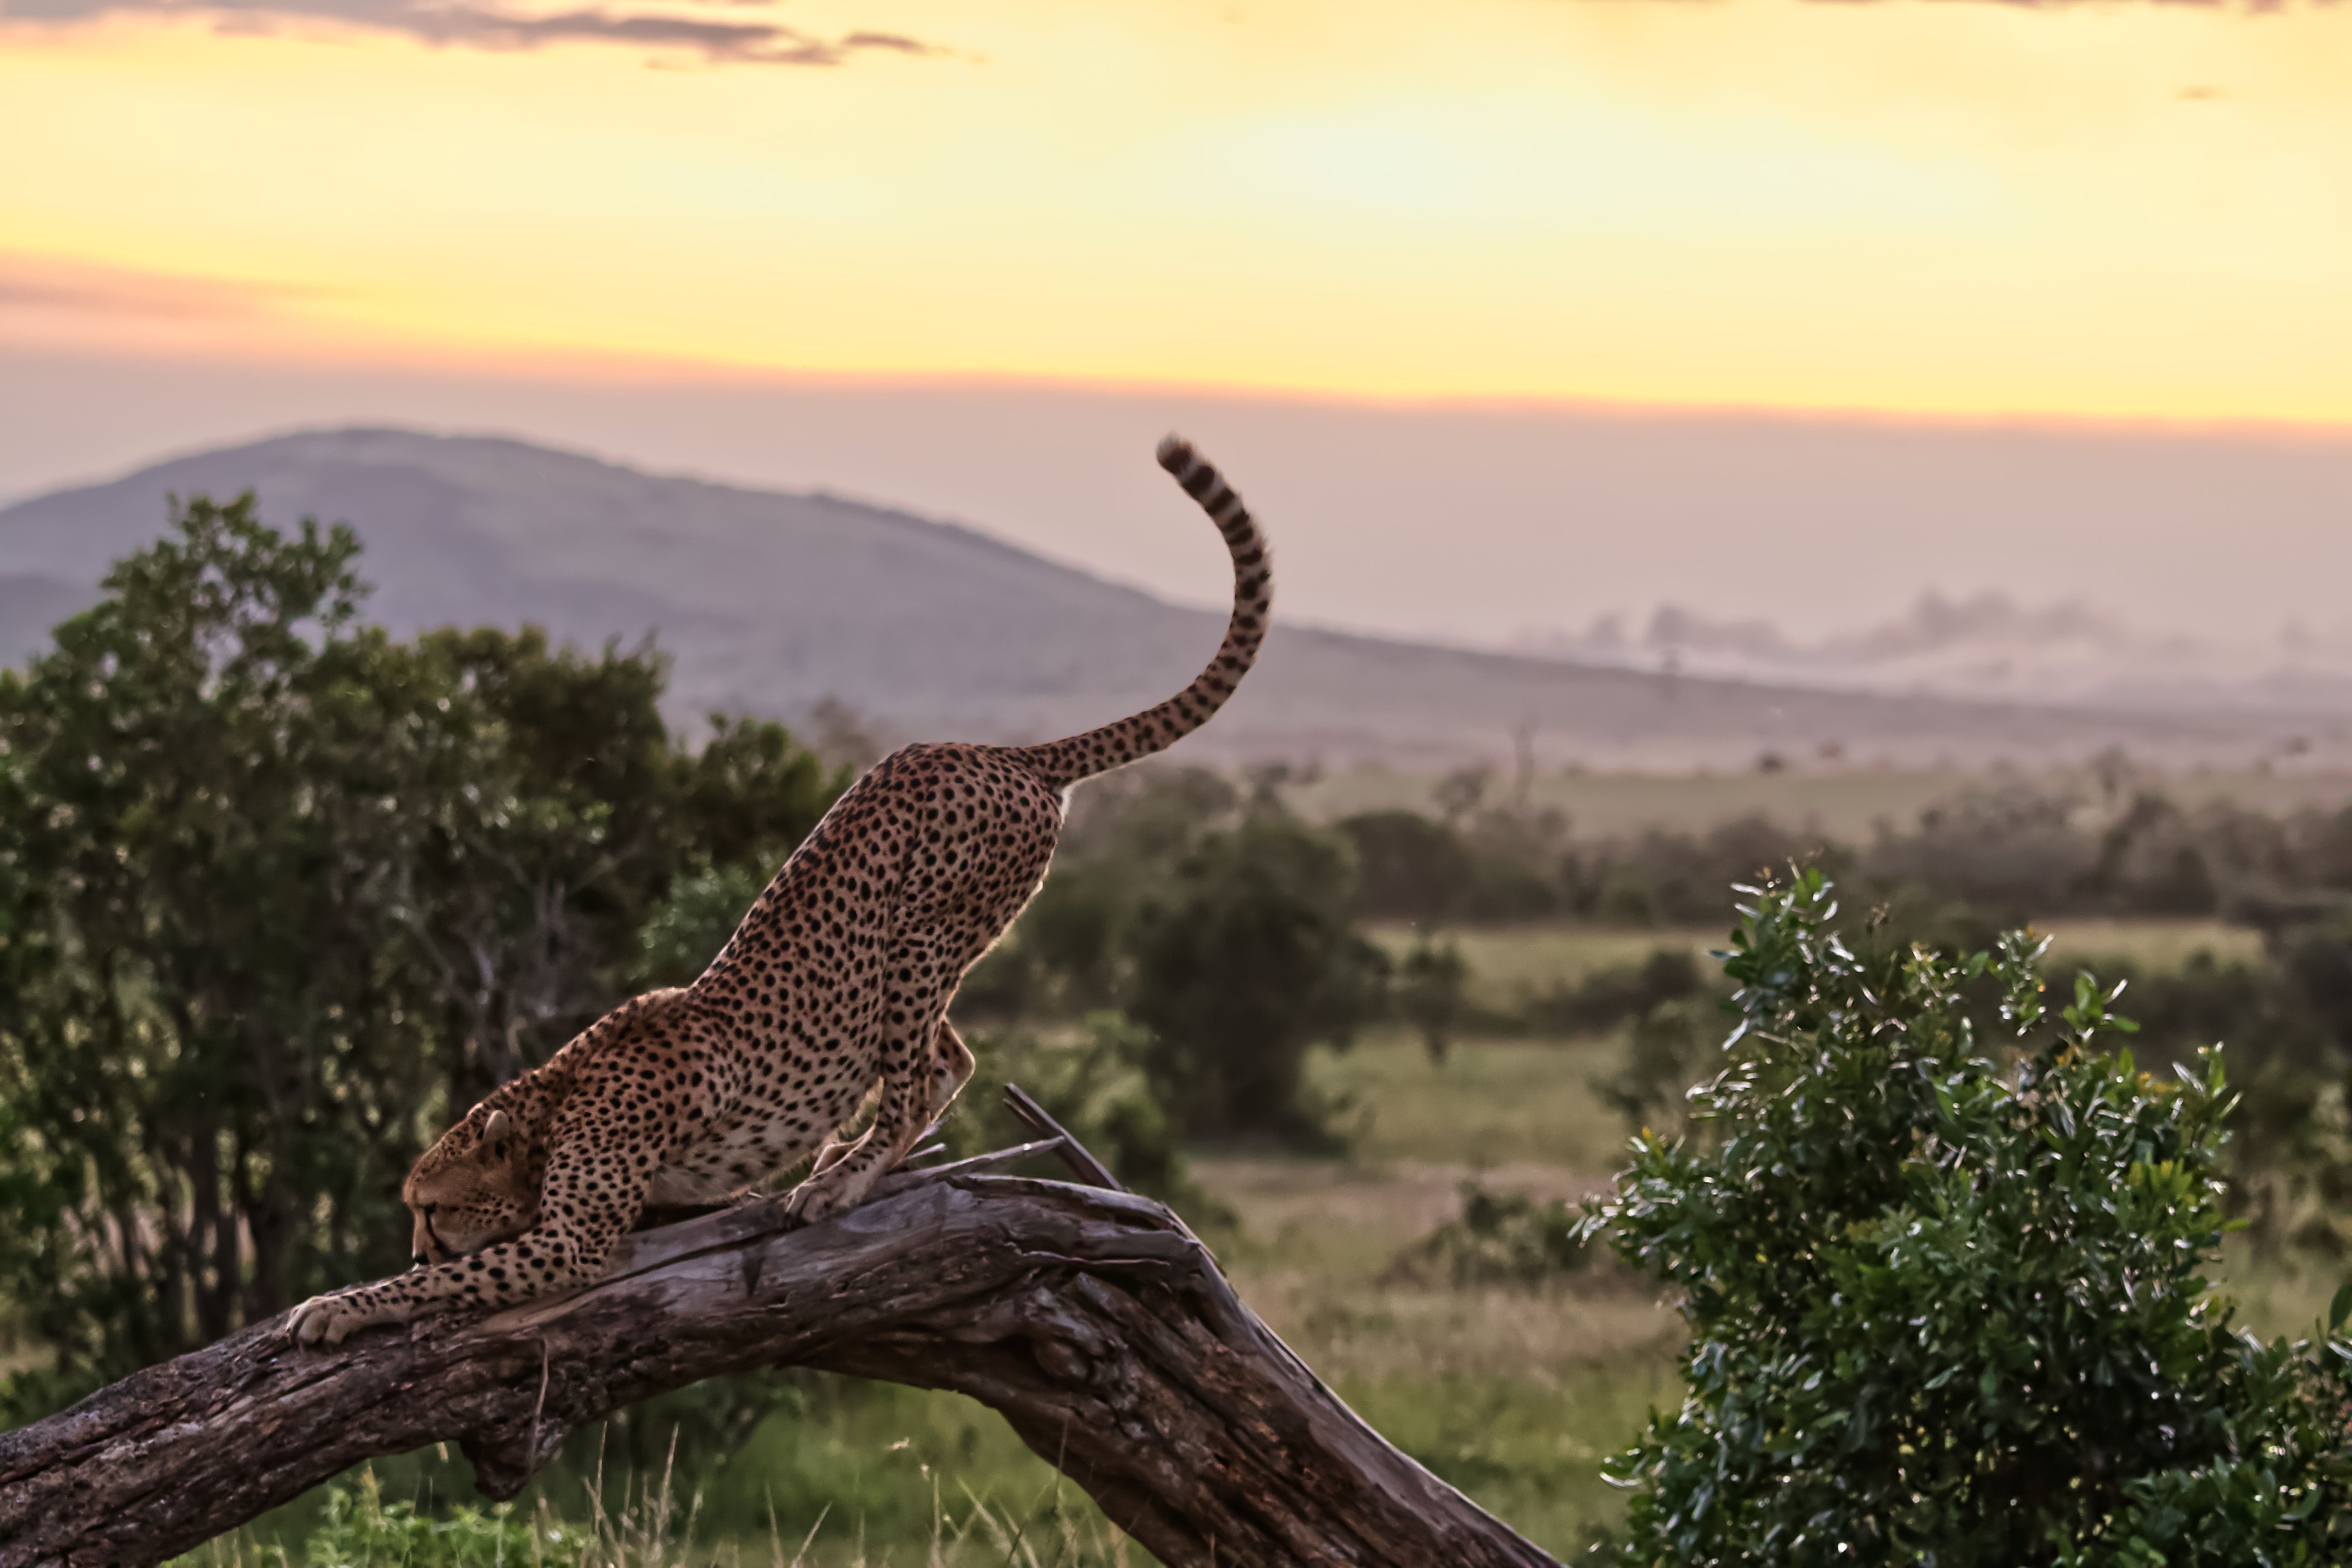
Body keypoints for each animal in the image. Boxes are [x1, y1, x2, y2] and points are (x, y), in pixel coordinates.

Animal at [288, 434, 1270, 1347]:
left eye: (433, 1206)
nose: (416, 1245)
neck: (551, 1105)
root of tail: (1000, 752)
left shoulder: (575, 1240)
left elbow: (465, 1275)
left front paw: (341, 1303)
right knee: (952, 1057)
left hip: (919, 940)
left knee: (918, 1078)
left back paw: (841, 1179)